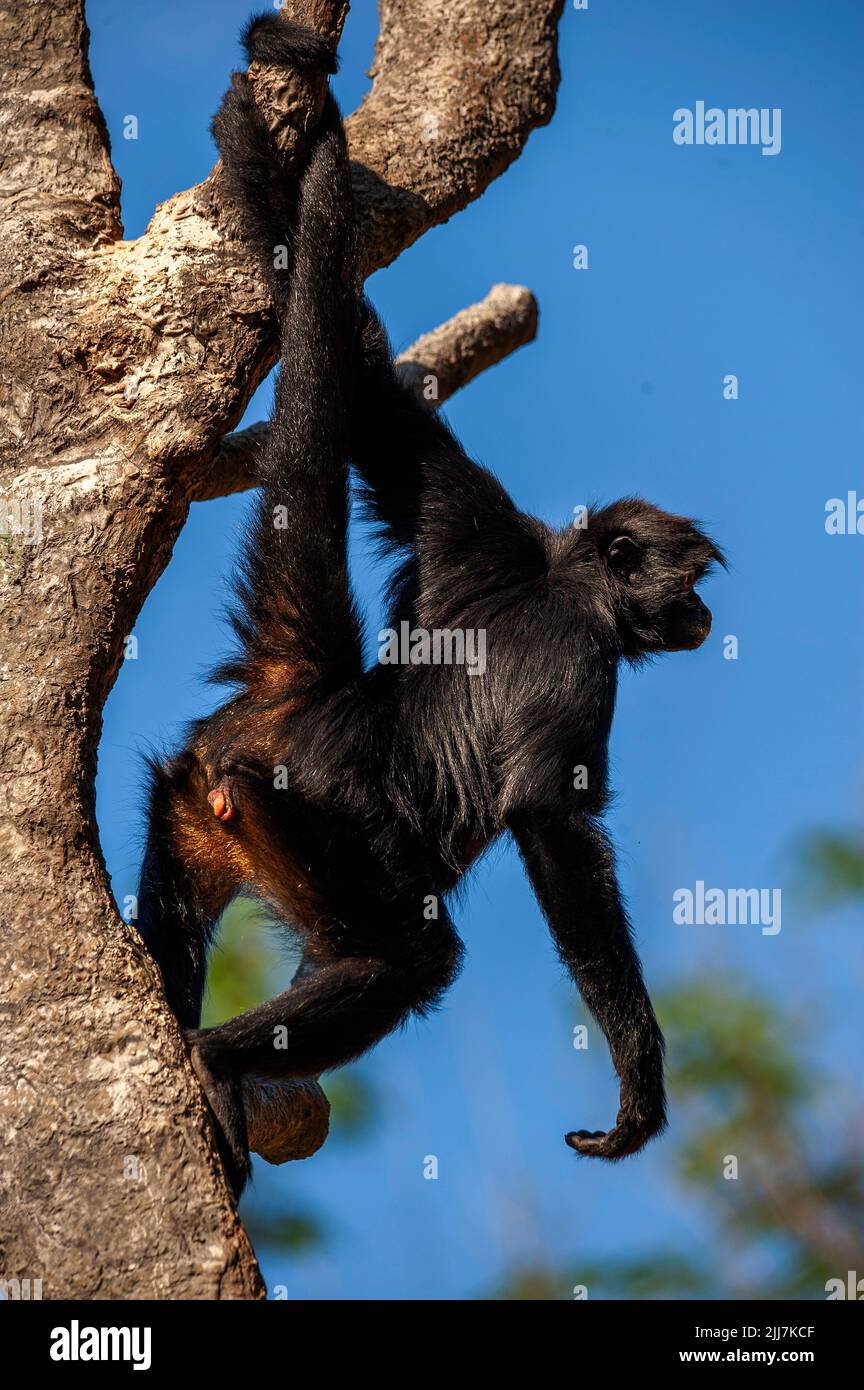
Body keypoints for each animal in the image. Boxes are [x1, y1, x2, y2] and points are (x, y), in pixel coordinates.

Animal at [136, 13, 725, 1198]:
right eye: (686, 583)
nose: (700, 618)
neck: (559, 574)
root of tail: (309, 704)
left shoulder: (478, 514)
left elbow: (367, 392)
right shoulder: (581, 653)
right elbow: (552, 820)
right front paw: (638, 1091)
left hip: (192, 802)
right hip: (286, 808)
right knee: (413, 956)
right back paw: (216, 1056)